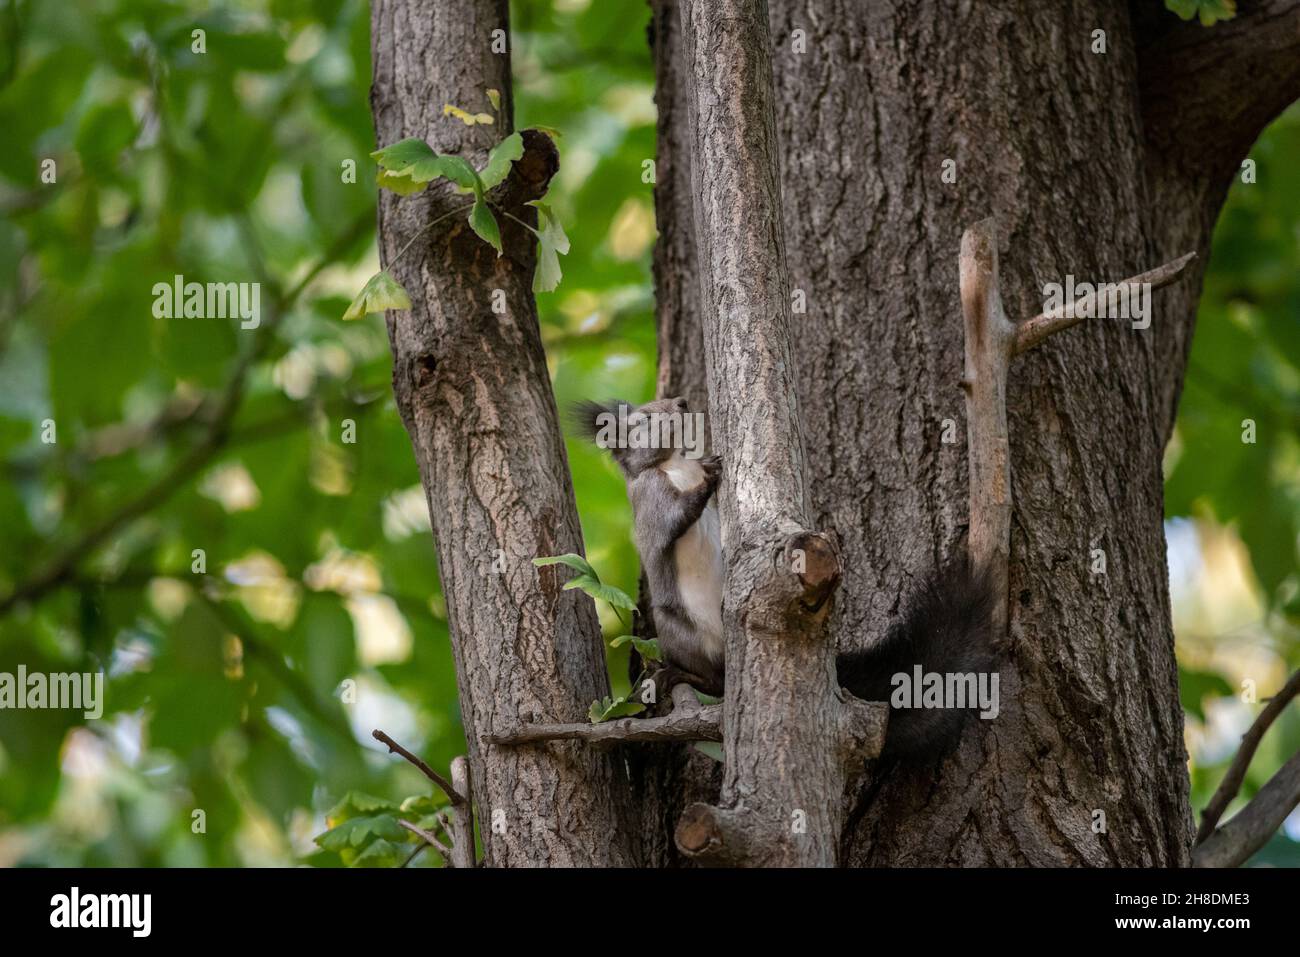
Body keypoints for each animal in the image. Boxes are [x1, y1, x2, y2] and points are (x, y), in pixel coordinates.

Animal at [572, 396, 994, 759]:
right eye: (642, 421)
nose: (681, 402)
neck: (676, 464)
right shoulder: (650, 499)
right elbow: (674, 519)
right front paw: (708, 478)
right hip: (677, 630)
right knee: (712, 678)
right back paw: (682, 674)